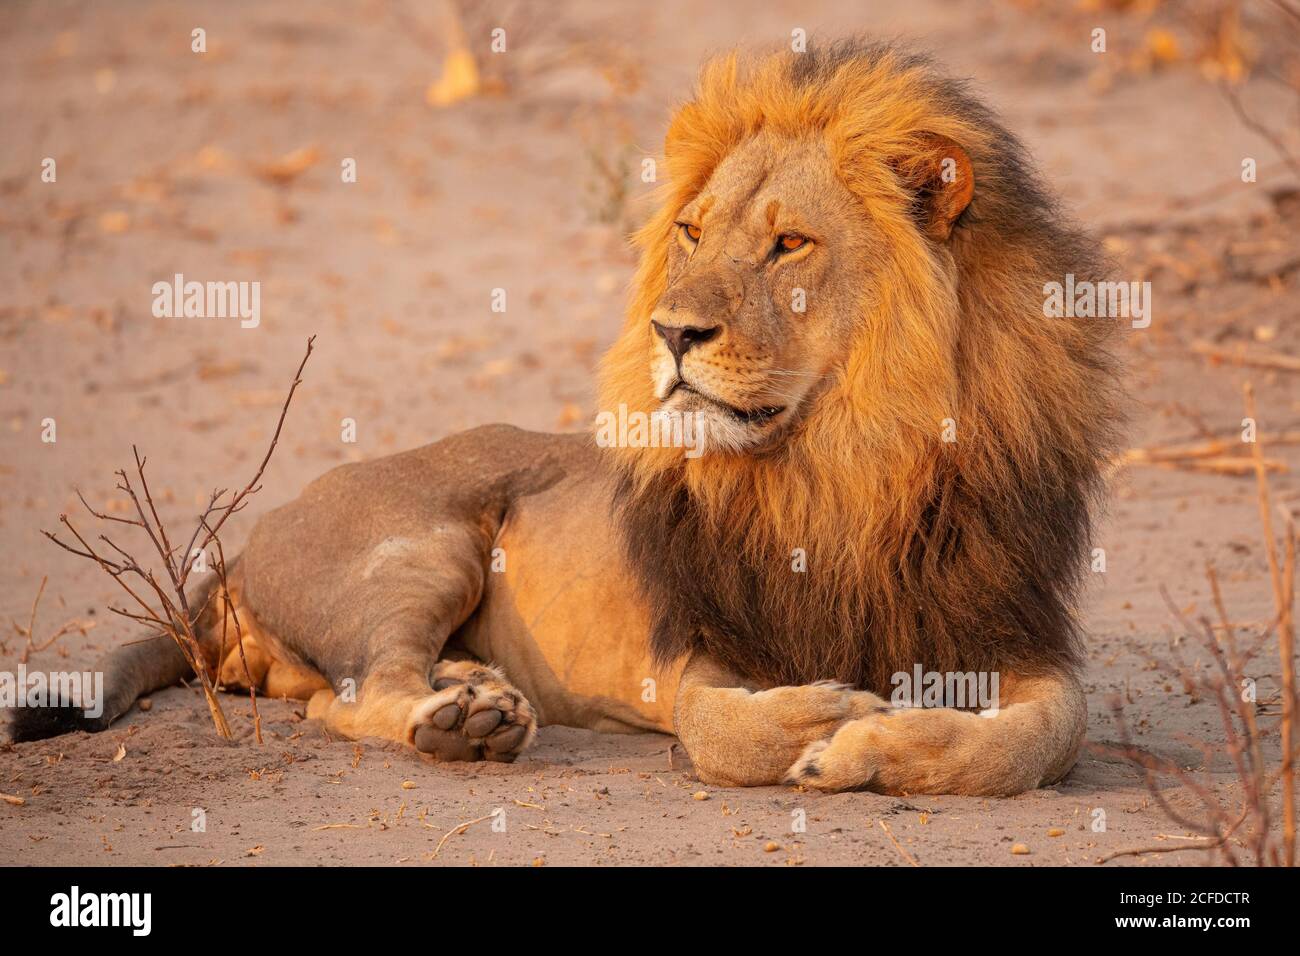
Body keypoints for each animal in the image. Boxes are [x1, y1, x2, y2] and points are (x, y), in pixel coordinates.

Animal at [8, 39, 1121, 796]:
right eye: (692, 231)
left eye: (790, 244)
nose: (672, 330)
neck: (842, 460)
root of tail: (236, 553)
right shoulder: (691, 649)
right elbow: (721, 728)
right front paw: (829, 719)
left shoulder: (1007, 629)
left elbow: (1039, 737)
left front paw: (878, 744)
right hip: (420, 542)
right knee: (364, 689)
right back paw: (467, 720)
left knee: (338, 692)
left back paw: (474, 693)